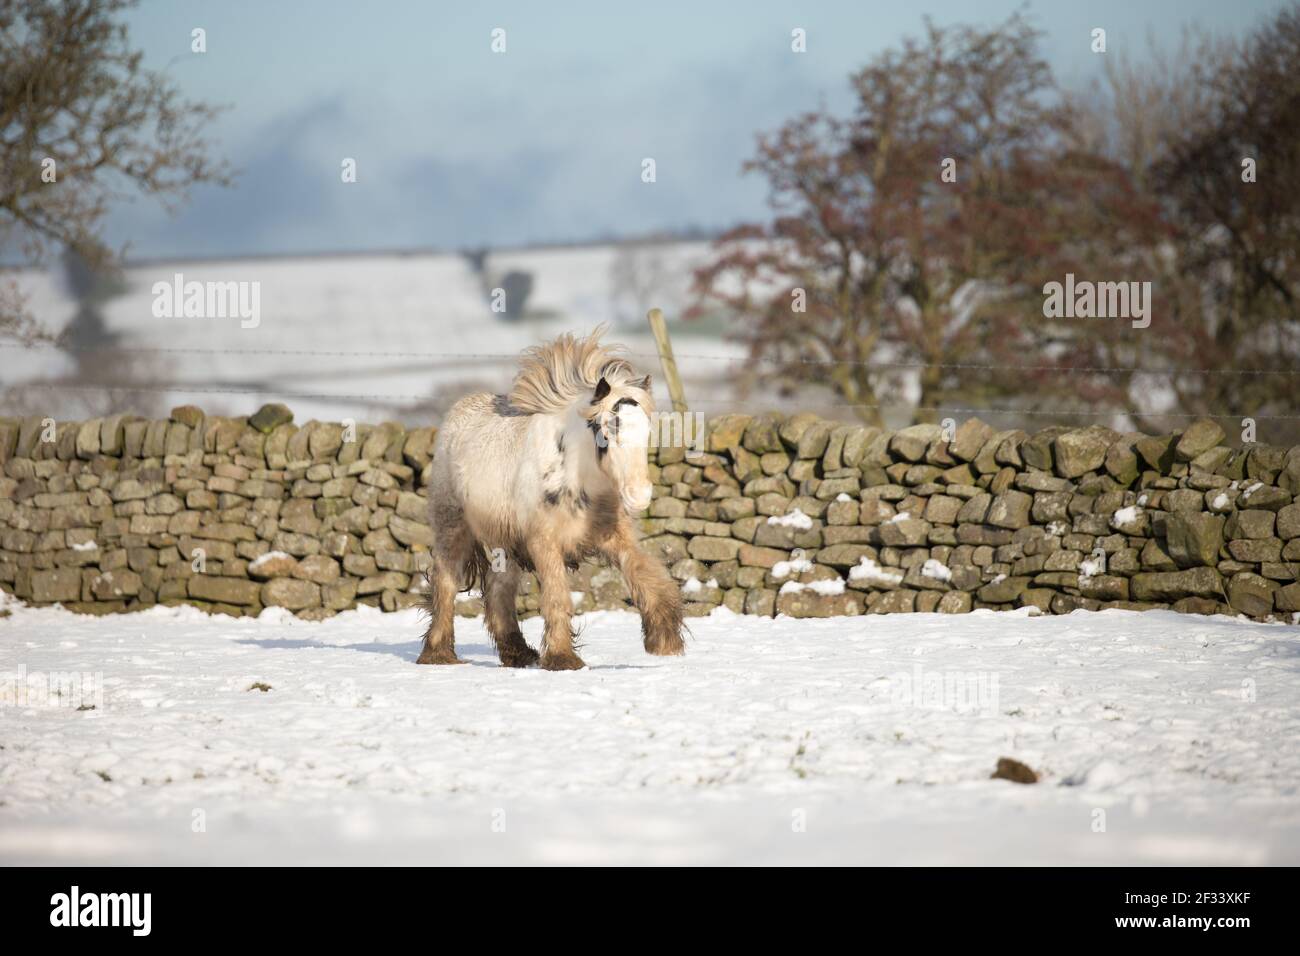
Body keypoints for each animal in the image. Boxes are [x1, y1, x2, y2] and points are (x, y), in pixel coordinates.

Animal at [417, 328, 686, 670]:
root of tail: (457, 414)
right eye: (605, 433)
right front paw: (562, 657)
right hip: (453, 528)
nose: (639, 496)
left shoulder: (614, 537)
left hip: (504, 543)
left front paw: (665, 639)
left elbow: (644, 573)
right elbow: (557, 597)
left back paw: (518, 654)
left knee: (499, 591)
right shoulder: (544, 543)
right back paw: (438, 653)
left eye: (647, 433)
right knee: (446, 582)